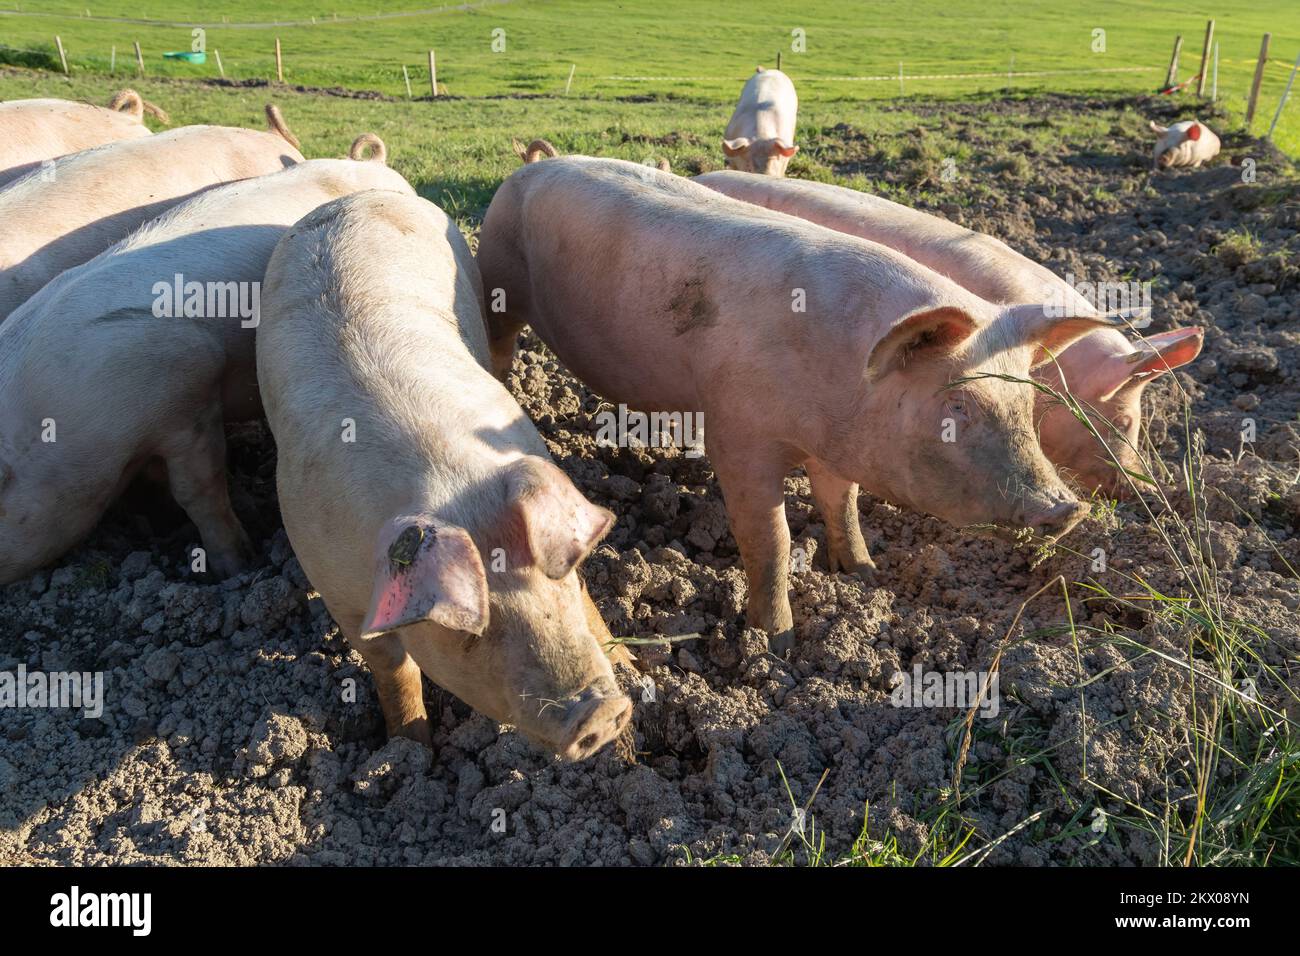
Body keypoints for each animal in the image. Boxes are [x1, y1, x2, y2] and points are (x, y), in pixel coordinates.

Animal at [256, 189, 632, 758]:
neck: (450, 487)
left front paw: (635, 665)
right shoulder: (333, 585)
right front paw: (409, 748)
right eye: (471, 631)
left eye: (555, 585)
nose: (603, 713)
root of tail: (355, 197)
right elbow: (393, 669)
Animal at [478, 157, 1121, 651]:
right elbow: (772, 539)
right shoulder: (739, 434)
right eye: (959, 406)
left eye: (1026, 404)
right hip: (497, 276)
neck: (842, 387)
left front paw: (864, 573)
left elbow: (844, 505)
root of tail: (531, 167)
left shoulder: (837, 447)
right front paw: (777, 643)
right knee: (500, 344)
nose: (1067, 507)